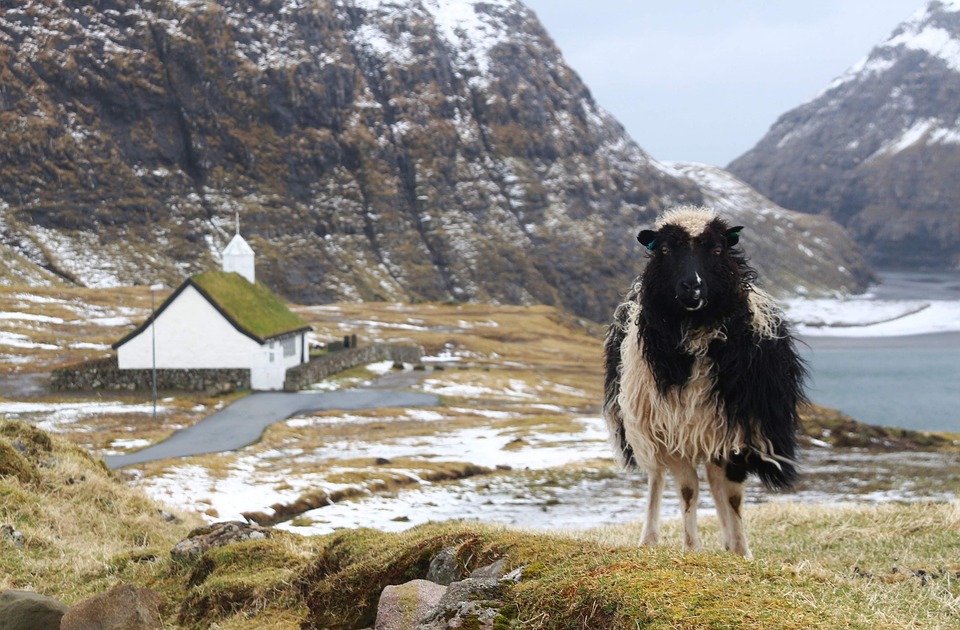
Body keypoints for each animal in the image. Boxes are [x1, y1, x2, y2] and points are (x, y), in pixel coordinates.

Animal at [602, 206, 805, 558]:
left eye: (718, 250)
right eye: (665, 250)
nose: (691, 287)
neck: (696, 329)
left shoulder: (739, 431)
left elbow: (733, 496)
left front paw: (741, 551)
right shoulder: (673, 430)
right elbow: (687, 491)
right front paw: (691, 548)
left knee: (715, 480)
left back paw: (726, 540)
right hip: (645, 425)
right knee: (657, 478)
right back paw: (649, 537)